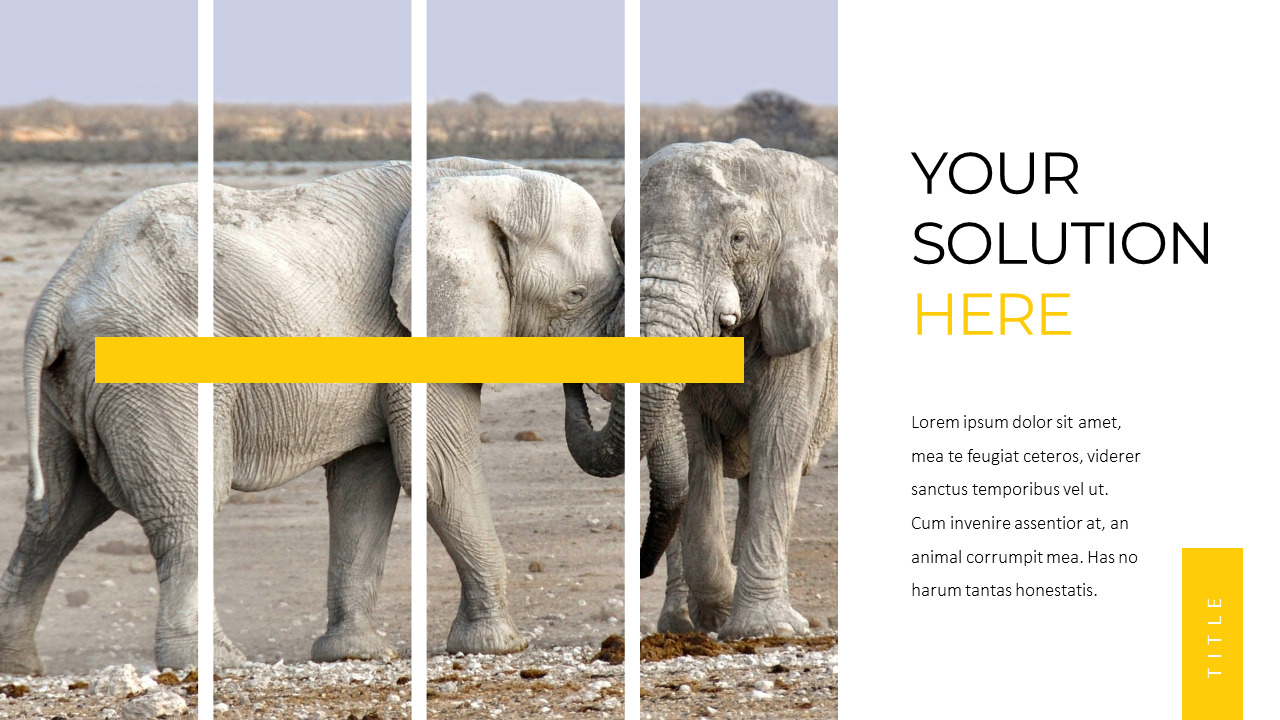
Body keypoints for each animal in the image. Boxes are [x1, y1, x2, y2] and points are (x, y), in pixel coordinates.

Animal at [636, 139, 837, 640]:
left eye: (739, 240)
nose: (639, 567)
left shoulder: (798, 315)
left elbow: (780, 438)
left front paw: (764, 631)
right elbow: (695, 450)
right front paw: (722, 614)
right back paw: (681, 625)